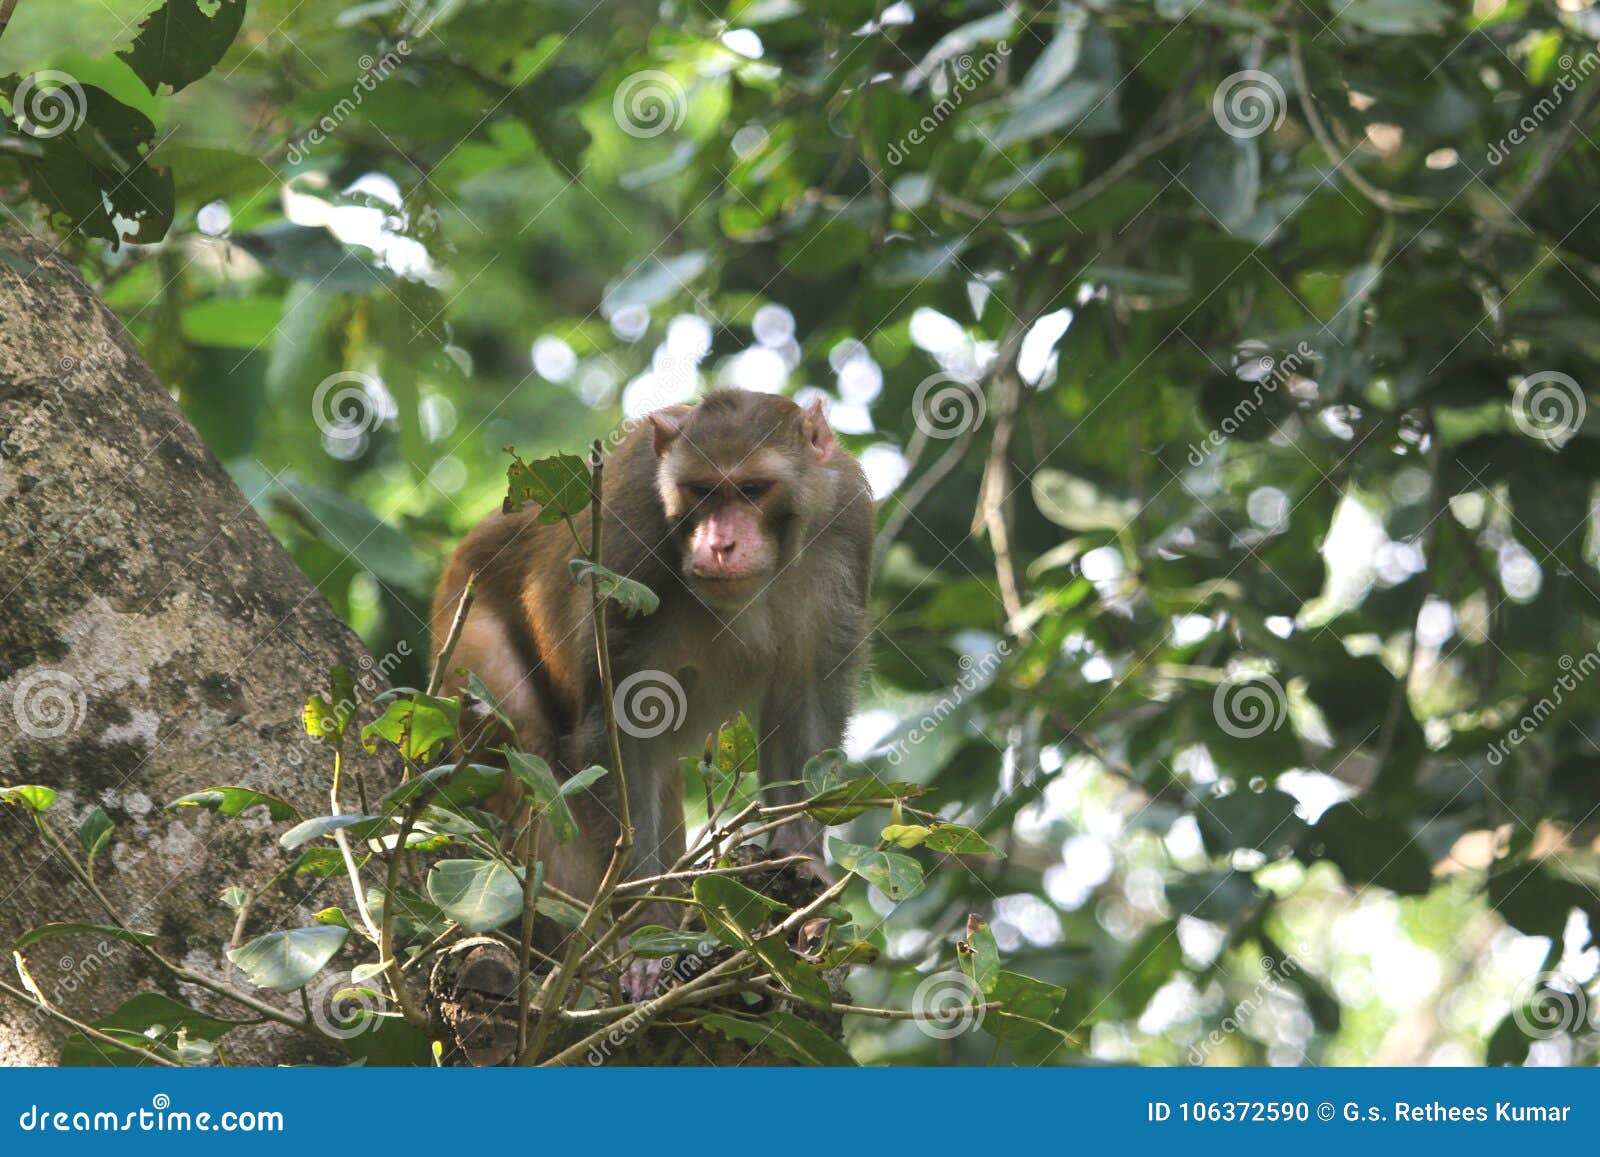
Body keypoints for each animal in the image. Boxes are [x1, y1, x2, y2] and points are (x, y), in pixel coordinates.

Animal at [430, 388, 873, 961]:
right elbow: (615, 731)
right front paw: (645, 933)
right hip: (467, 622)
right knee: (523, 742)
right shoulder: (628, 542)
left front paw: (802, 872)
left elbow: (805, 708)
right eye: (702, 491)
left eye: (753, 489)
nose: (720, 545)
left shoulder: (846, 528)